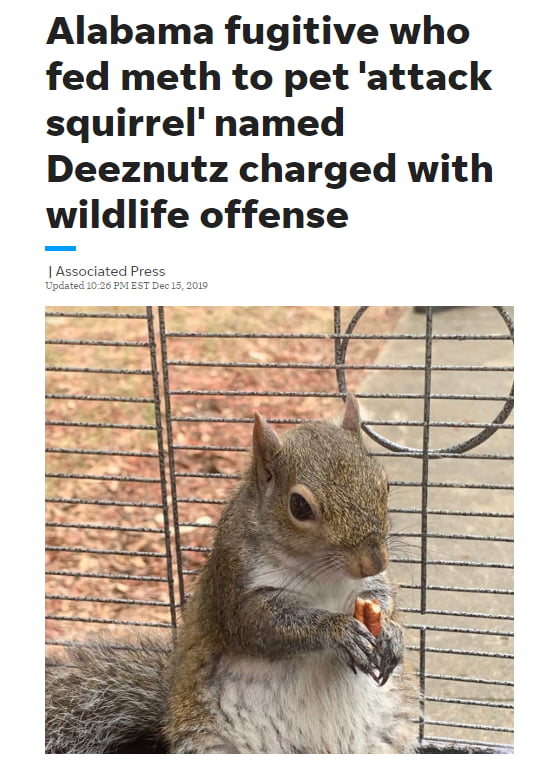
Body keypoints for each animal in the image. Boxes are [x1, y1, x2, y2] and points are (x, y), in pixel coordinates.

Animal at [46, 394, 419, 754]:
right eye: (299, 506)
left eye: (385, 484)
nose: (373, 561)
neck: (321, 572)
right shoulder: (233, 579)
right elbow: (258, 624)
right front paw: (338, 630)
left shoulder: (367, 586)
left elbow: (382, 597)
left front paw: (391, 633)